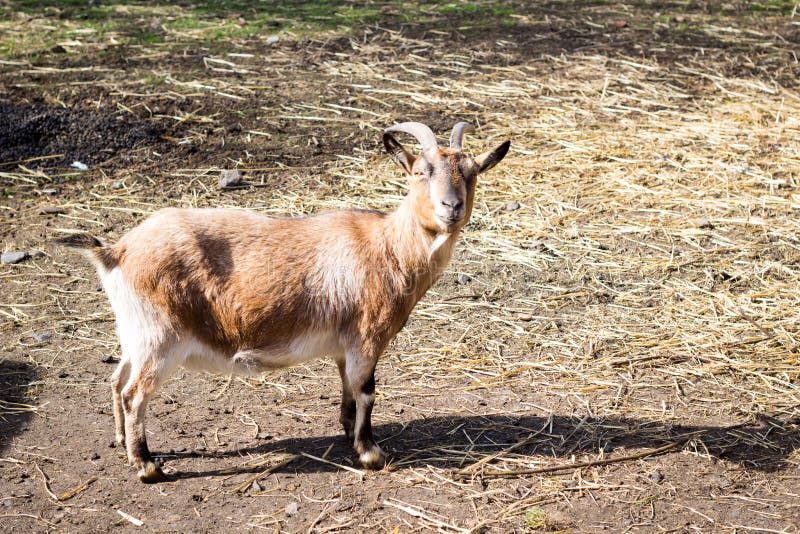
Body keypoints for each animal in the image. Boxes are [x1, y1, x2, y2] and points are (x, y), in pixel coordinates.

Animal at [59, 122, 510, 482]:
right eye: (419, 173)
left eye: (472, 174)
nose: (451, 207)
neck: (388, 247)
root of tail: (116, 251)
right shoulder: (367, 336)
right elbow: (366, 390)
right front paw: (370, 453)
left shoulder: (344, 345)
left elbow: (348, 389)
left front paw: (347, 431)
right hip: (161, 336)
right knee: (135, 393)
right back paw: (148, 466)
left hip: (135, 332)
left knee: (116, 379)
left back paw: (120, 441)